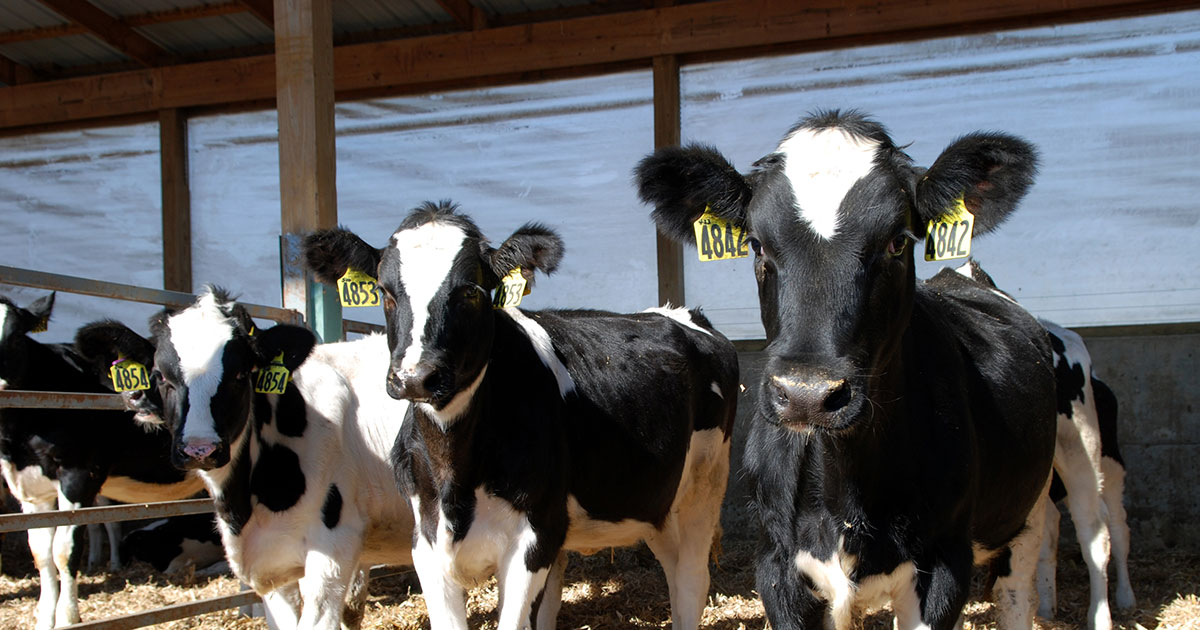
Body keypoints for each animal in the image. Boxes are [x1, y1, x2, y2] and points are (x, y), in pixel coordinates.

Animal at [0, 294, 204, 630]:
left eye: (16, 335)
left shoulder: (78, 473)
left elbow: (64, 551)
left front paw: (67, 616)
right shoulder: (30, 488)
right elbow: (41, 552)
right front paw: (44, 617)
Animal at [302, 202, 740, 630]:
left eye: (470, 291)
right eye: (385, 292)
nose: (416, 377)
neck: (454, 475)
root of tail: (682, 314)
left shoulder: (532, 538)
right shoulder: (426, 540)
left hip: (703, 488)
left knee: (690, 582)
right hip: (656, 509)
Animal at [636, 109, 1063, 630]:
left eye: (898, 241)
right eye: (756, 245)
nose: (808, 394)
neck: (844, 494)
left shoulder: (942, 566)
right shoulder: (777, 567)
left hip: (1028, 513)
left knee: (1015, 594)